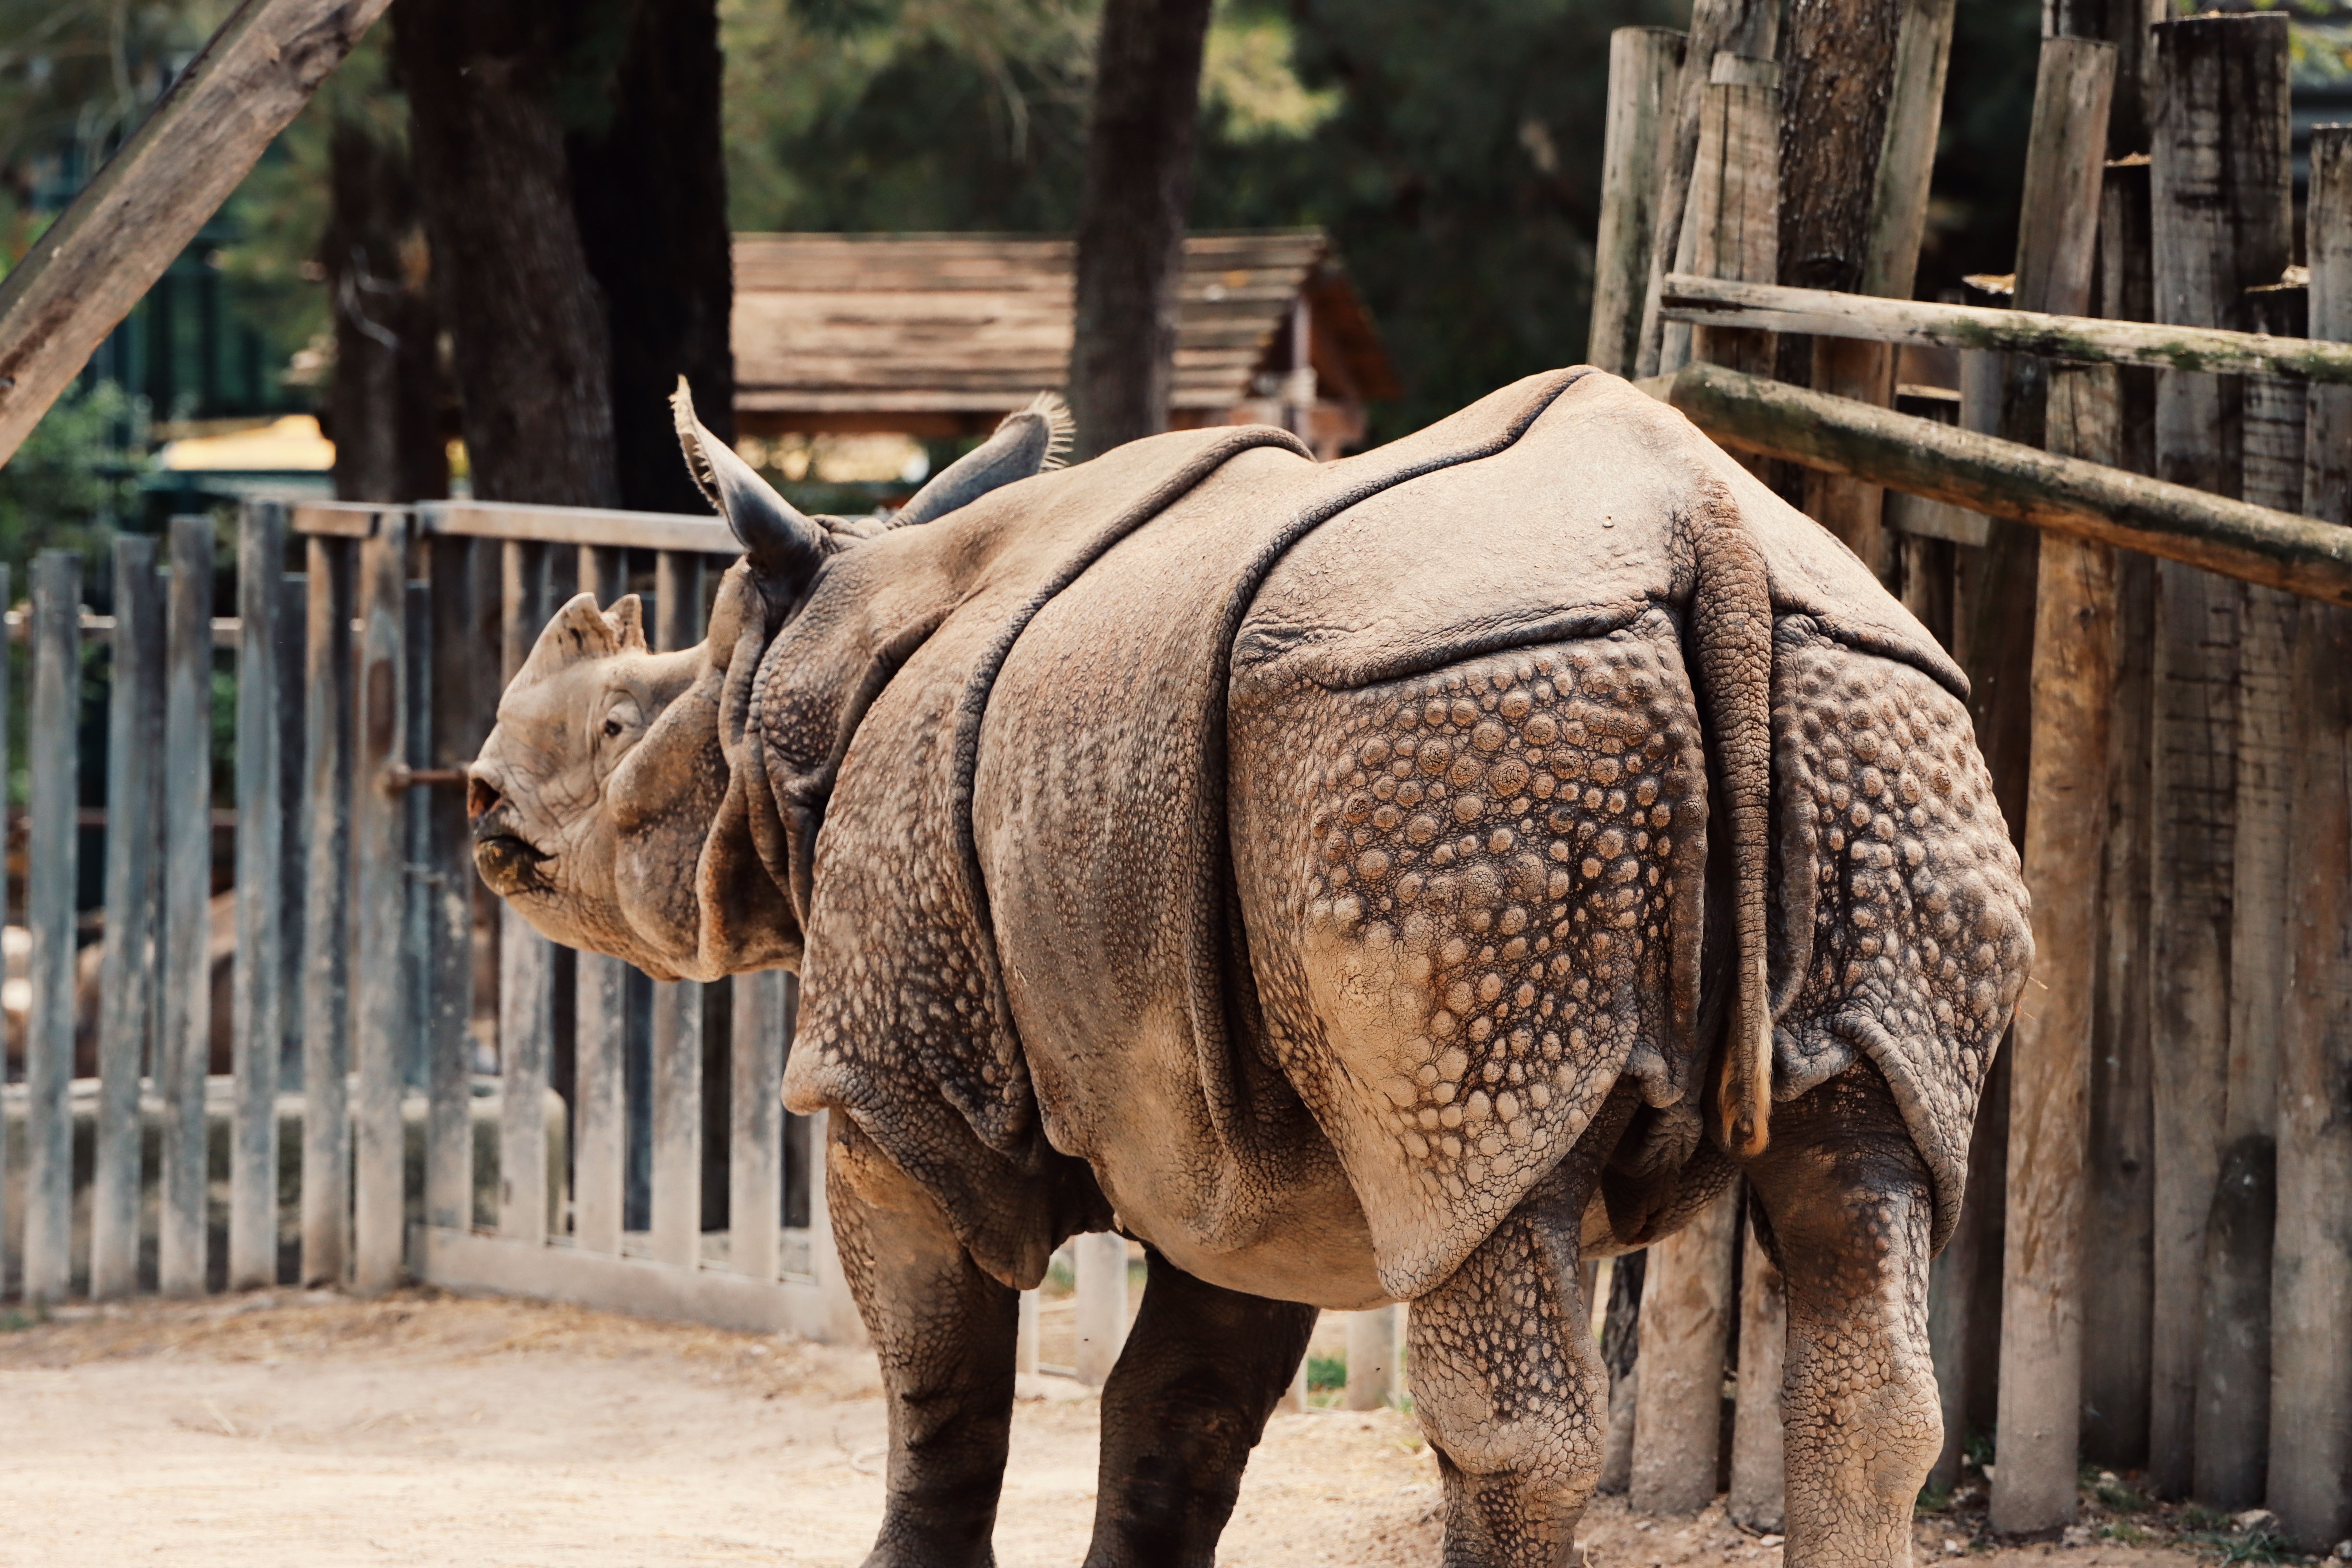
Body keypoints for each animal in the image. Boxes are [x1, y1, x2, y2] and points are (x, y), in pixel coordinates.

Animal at [468, 369, 2031, 1568]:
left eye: (616, 723)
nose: (481, 796)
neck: (806, 664)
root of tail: (1711, 535)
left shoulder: (889, 1088)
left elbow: (939, 1402)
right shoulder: (1242, 1138)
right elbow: (1174, 1420)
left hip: (1452, 738)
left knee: (1500, 1254)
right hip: (1875, 713)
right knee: (1867, 1191)